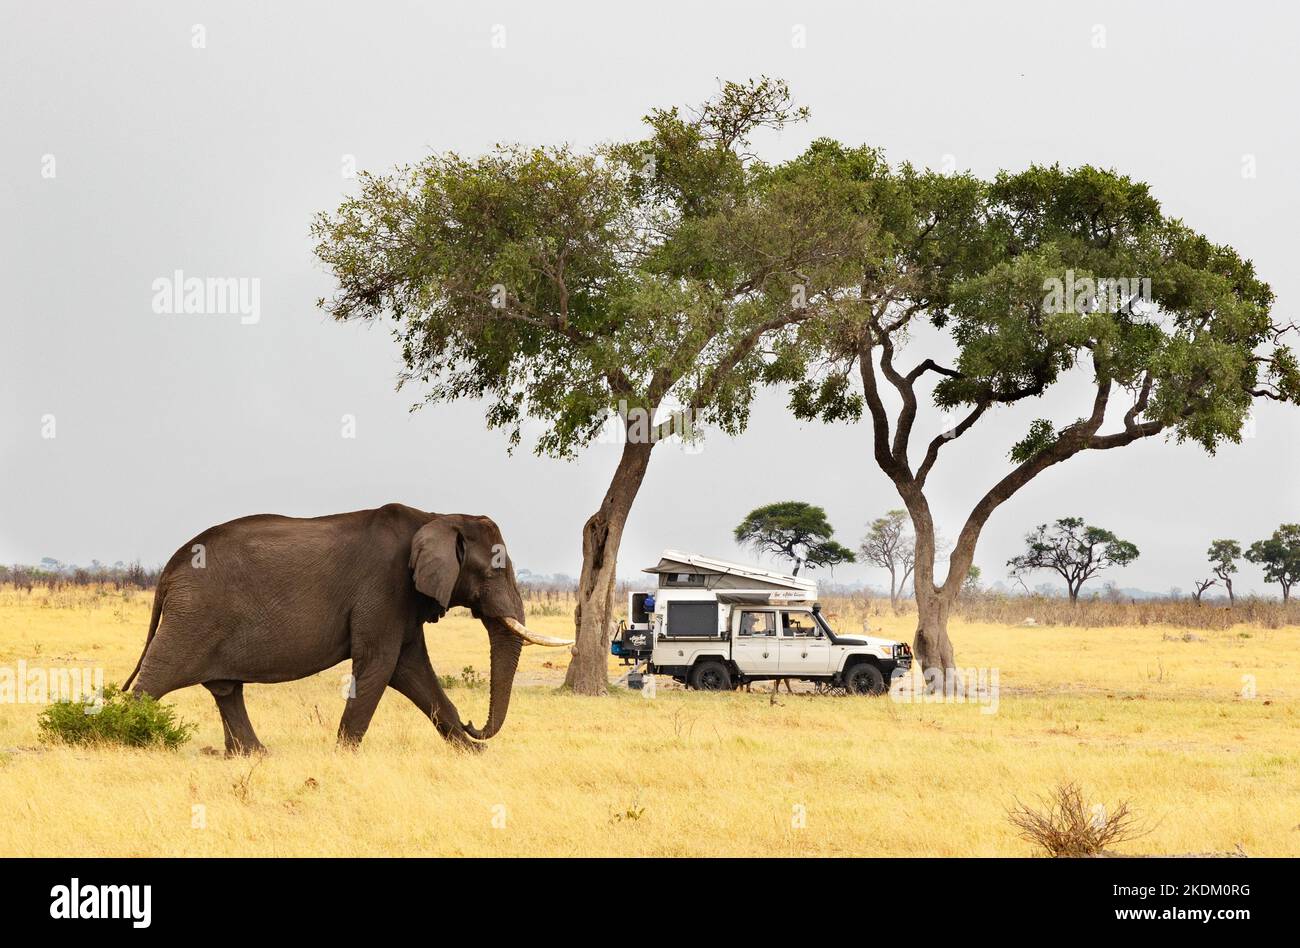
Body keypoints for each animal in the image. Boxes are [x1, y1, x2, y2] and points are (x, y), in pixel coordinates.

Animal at [120, 501, 569, 754]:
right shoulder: (385, 586)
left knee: (226, 690)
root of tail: (169, 569)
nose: (475, 727)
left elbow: (411, 670)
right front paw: (344, 756)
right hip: (193, 615)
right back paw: (124, 739)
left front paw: (472, 755)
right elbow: (380, 665)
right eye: (494, 570)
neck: (437, 517)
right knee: (157, 679)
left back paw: (255, 756)